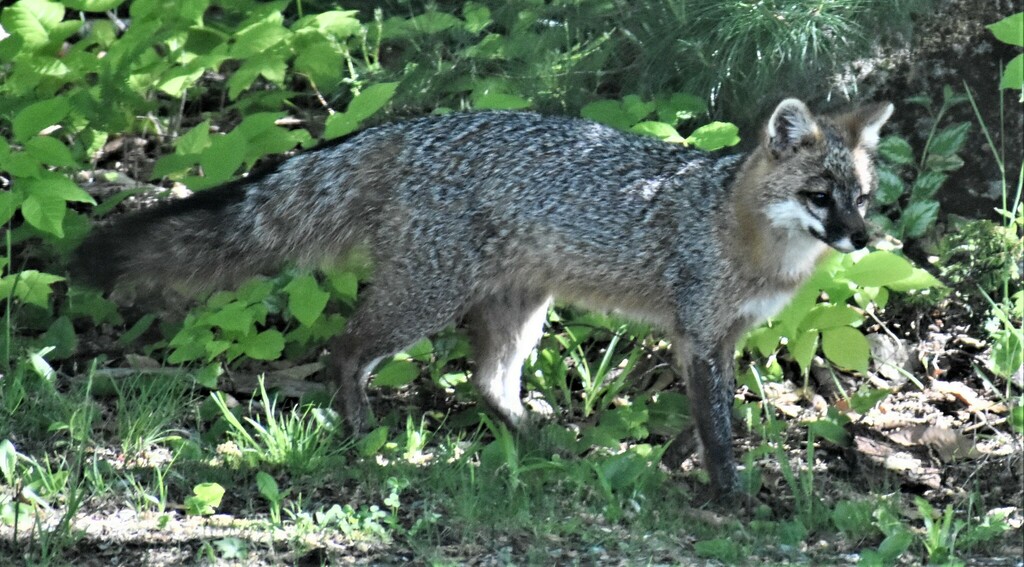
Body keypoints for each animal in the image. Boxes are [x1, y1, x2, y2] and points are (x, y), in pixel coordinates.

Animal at [70, 98, 894, 498]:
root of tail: (410, 130)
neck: (744, 233)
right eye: (819, 196)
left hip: (517, 310)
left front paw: (673, 460)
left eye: (861, 196)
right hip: (426, 301)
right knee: (346, 348)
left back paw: (542, 446)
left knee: (486, 383)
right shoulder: (696, 333)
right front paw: (730, 493)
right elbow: (720, 426)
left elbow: (715, 417)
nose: (859, 240)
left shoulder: (720, 339)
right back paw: (362, 436)